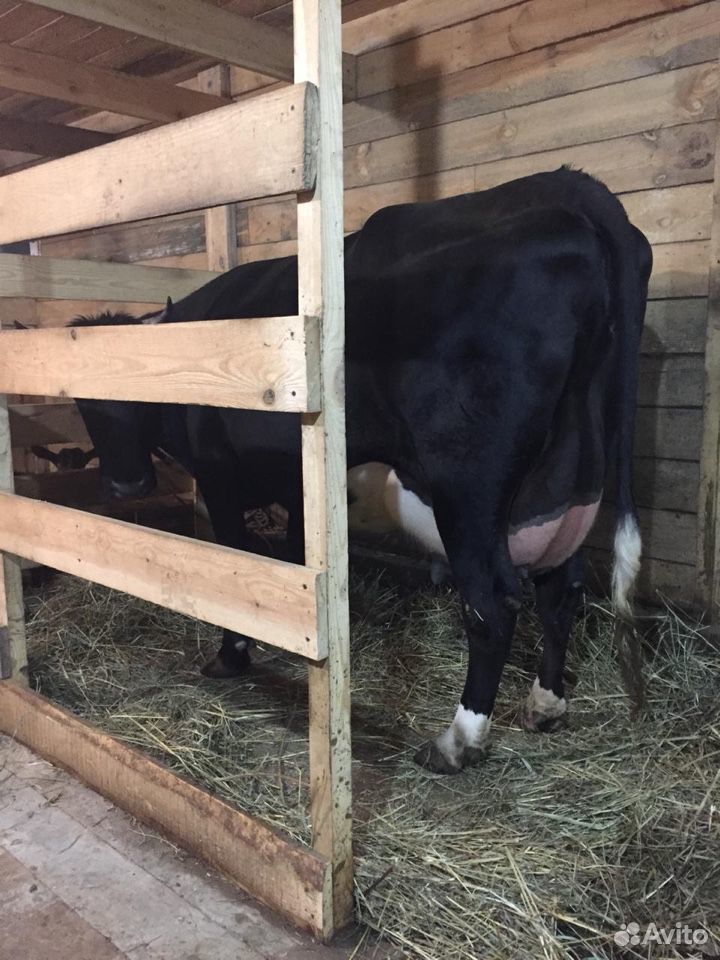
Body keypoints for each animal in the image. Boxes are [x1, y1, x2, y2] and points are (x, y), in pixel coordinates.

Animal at [69, 169, 652, 773]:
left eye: (130, 394)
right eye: (84, 405)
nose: (127, 484)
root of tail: (572, 189)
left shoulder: (218, 475)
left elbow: (234, 562)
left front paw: (232, 654)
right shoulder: (295, 484)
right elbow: (295, 558)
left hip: (467, 488)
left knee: (492, 604)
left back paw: (457, 740)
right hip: (567, 483)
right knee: (561, 589)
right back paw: (545, 705)